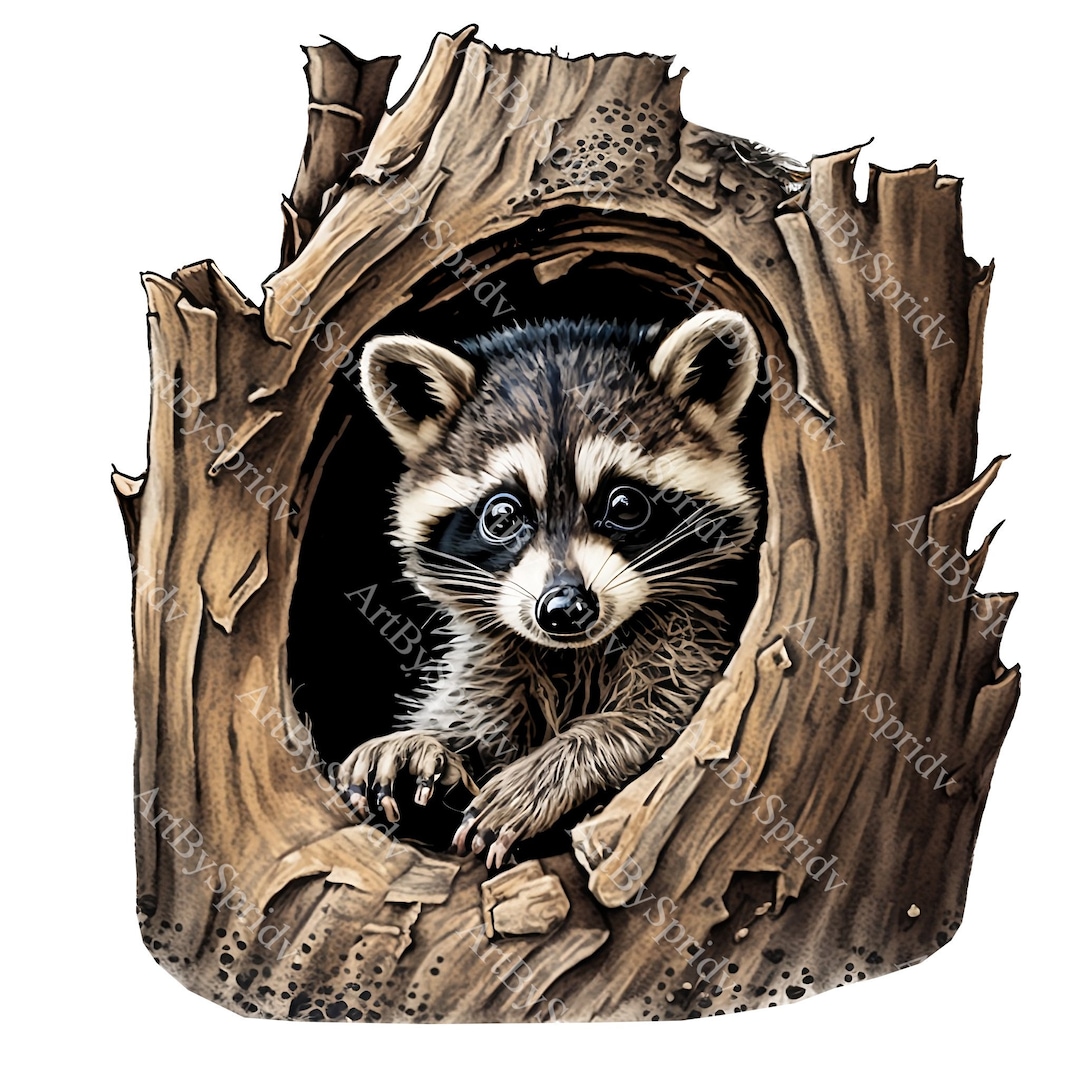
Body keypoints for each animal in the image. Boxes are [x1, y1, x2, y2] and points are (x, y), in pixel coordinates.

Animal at [339, 309, 762, 868]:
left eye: (626, 505)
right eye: (501, 515)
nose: (564, 607)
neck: (571, 655)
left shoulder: (692, 633)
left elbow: (663, 711)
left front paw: (563, 760)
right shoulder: (492, 663)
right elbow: (472, 712)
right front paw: (424, 742)